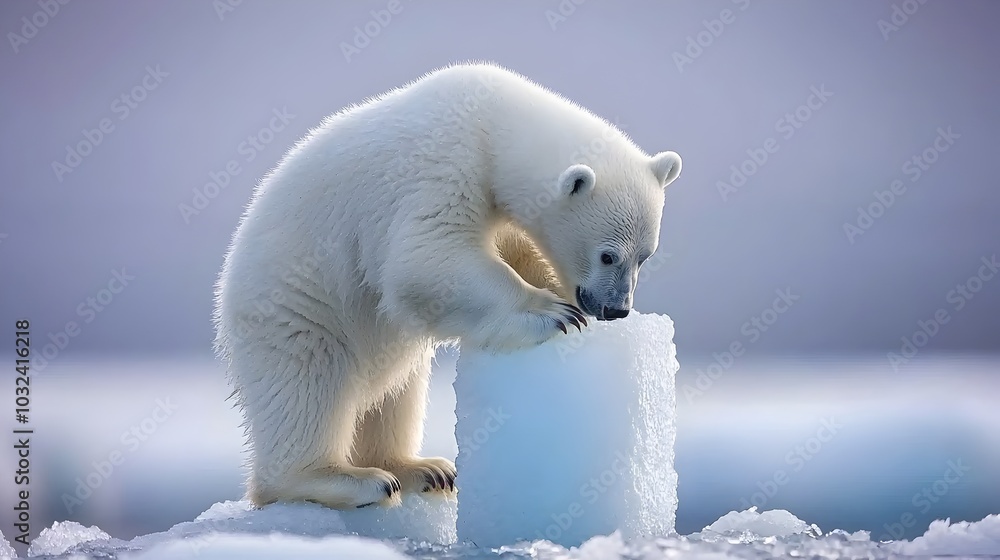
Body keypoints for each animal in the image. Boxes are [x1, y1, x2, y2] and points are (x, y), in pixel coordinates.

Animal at [214, 62, 682, 509]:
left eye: (646, 255)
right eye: (608, 255)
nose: (616, 309)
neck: (490, 120)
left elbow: (517, 249)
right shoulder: (441, 167)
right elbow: (426, 258)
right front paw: (551, 312)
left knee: (398, 393)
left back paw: (422, 469)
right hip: (295, 305)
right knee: (305, 381)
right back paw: (348, 479)